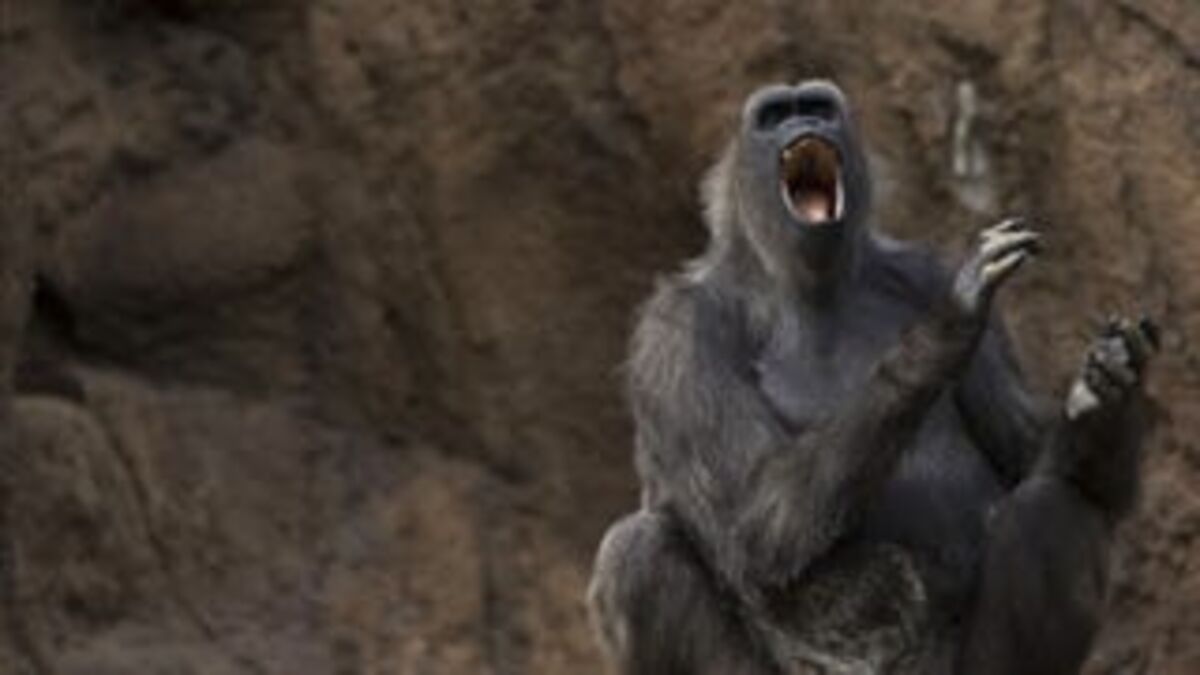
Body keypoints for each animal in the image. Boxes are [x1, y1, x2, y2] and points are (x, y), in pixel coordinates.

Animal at [587, 81, 1157, 675]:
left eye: (817, 108)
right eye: (774, 116)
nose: (804, 127)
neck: (804, 281)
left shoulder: (921, 270)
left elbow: (1032, 455)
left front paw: (1107, 396)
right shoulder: (674, 332)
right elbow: (753, 515)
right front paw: (946, 326)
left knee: (1055, 506)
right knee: (637, 556)